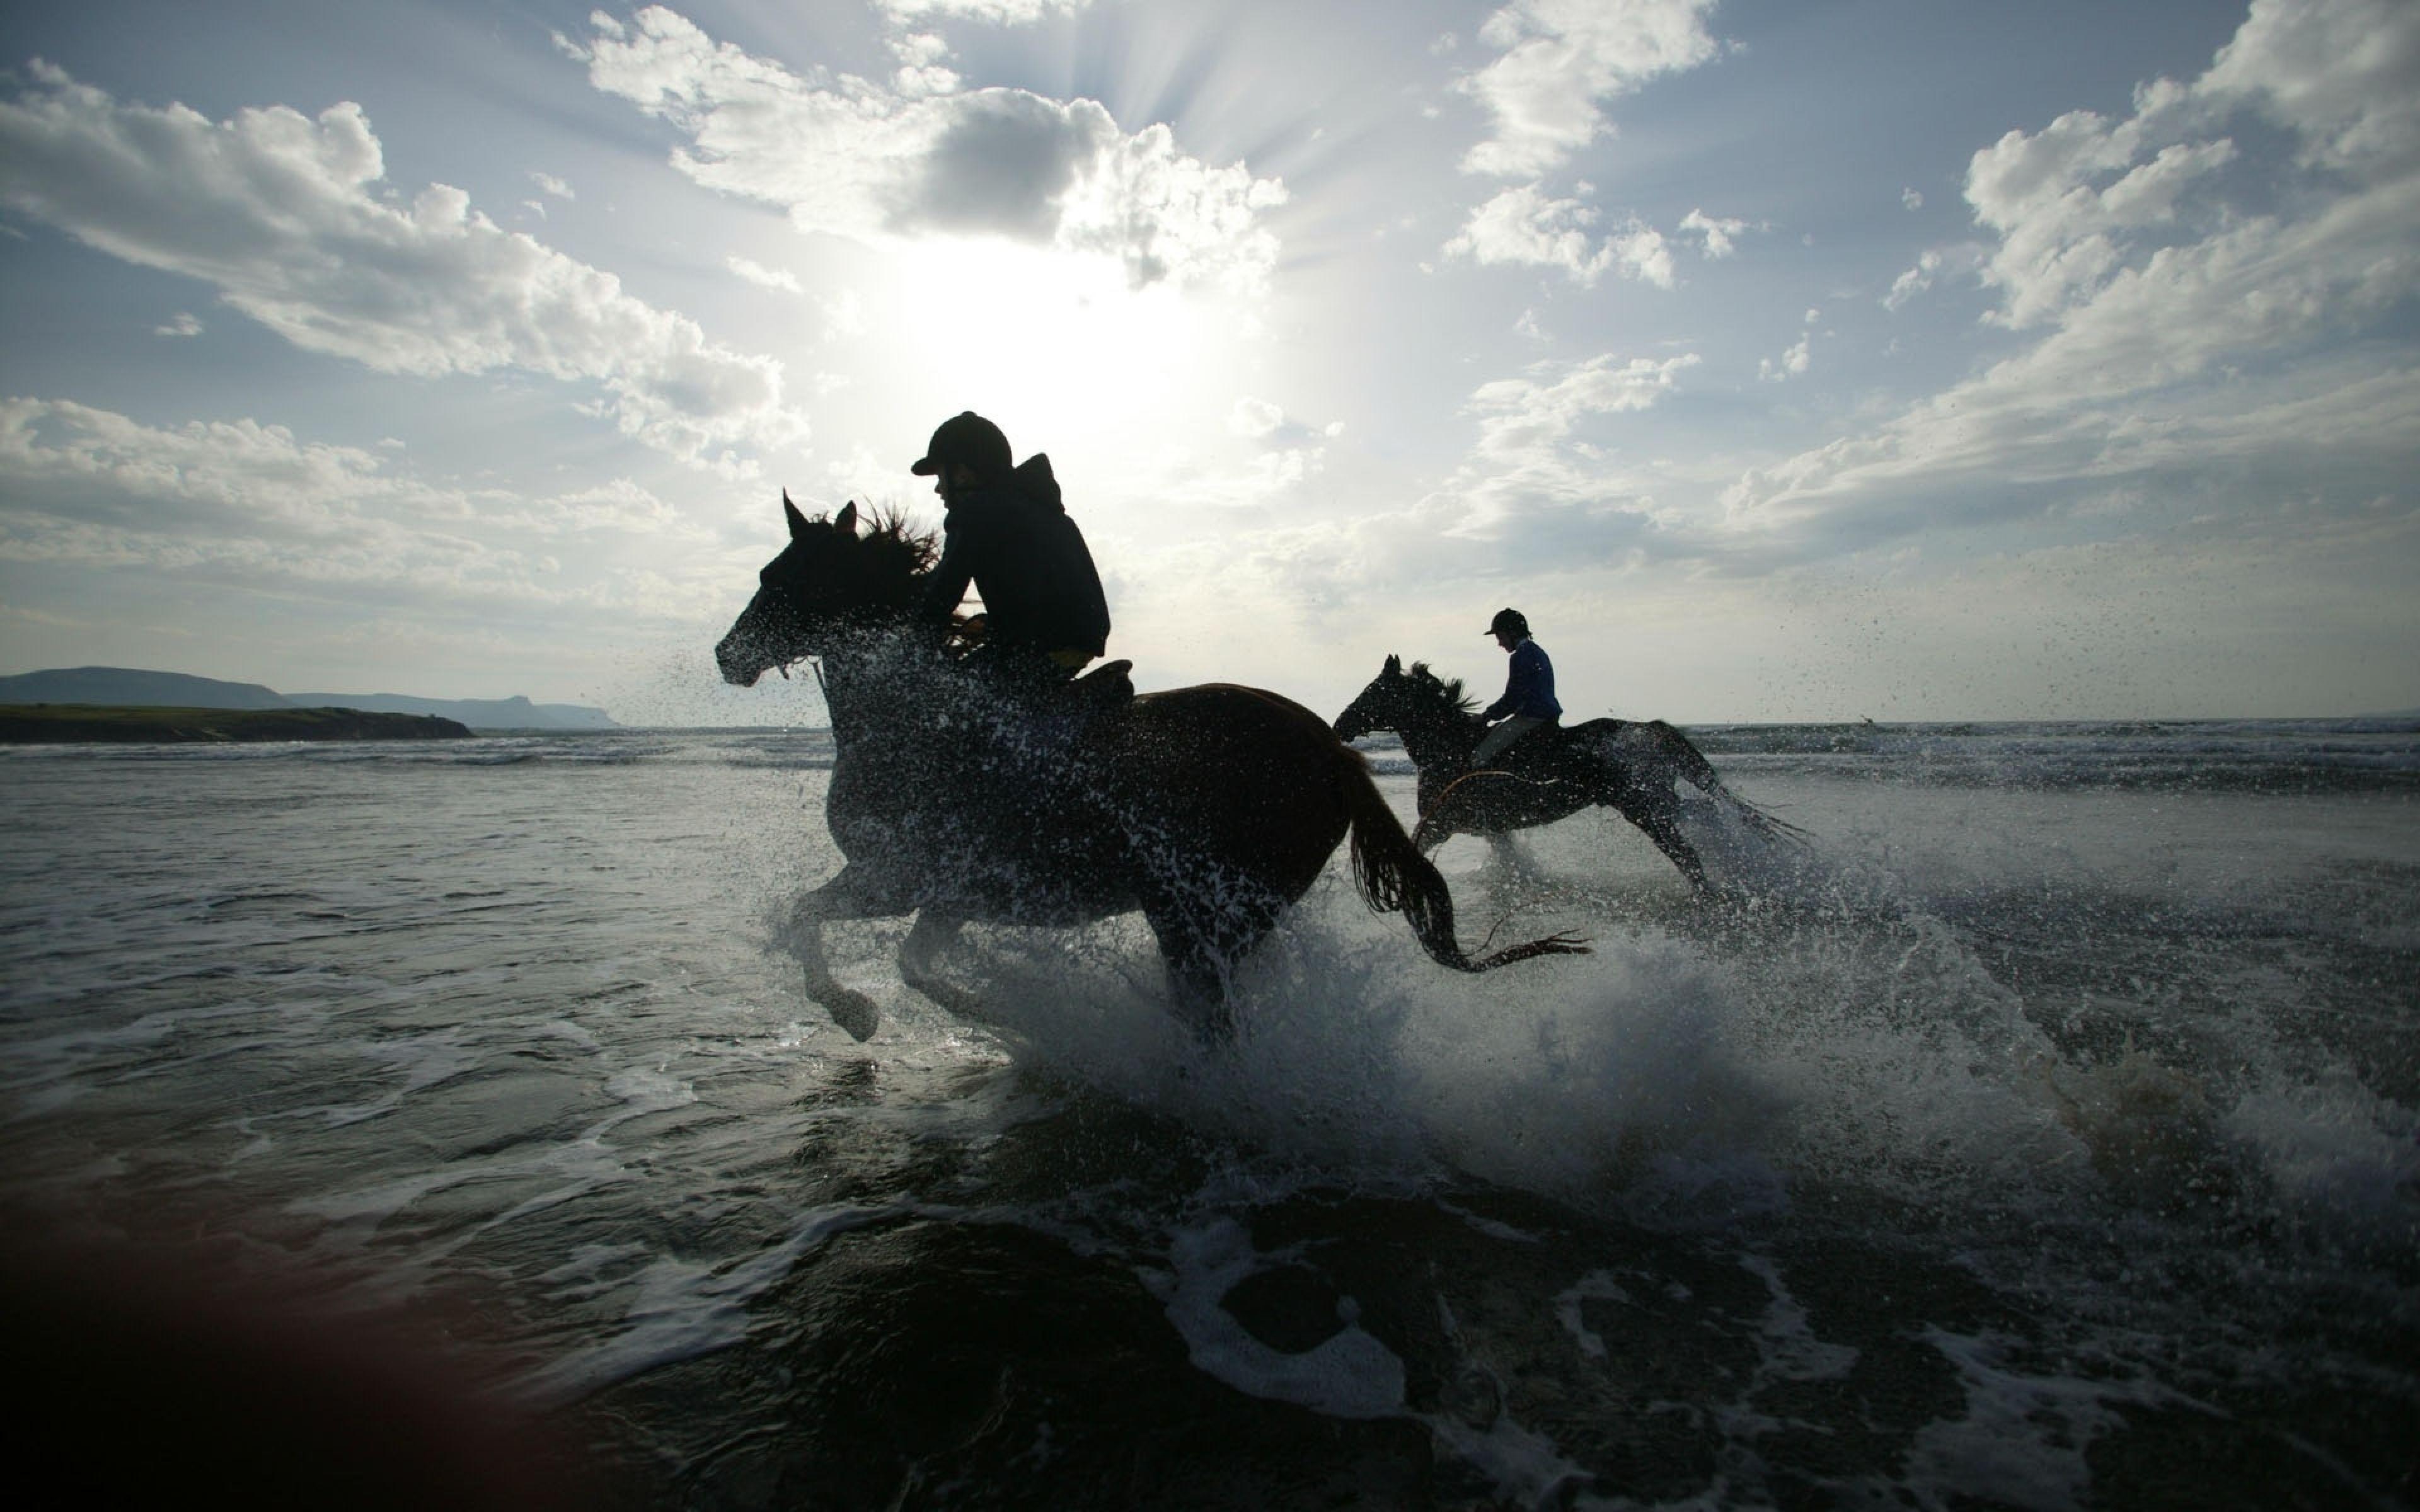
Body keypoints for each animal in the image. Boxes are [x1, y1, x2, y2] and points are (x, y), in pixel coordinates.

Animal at [715, 497, 1586, 1044]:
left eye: (779, 576)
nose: (729, 655)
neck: (913, 718)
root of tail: (1334, 752)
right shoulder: (949, 897)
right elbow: (911, 961)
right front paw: (994, 1012)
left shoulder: (895, 877)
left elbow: (807, 918)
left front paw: (856, 1011)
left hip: (1203, 917)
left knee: (1213, 1020)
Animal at [1332, 655, 1802, 892]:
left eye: (1374, 690)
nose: (1340, 725)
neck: (1449, 748)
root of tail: (1647, 730)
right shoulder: (1491, 827)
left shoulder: (1442, 823)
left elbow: (1414, 847)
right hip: (1658, 801)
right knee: (1698, 822)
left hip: (1643, 809)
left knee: (1687, 855)